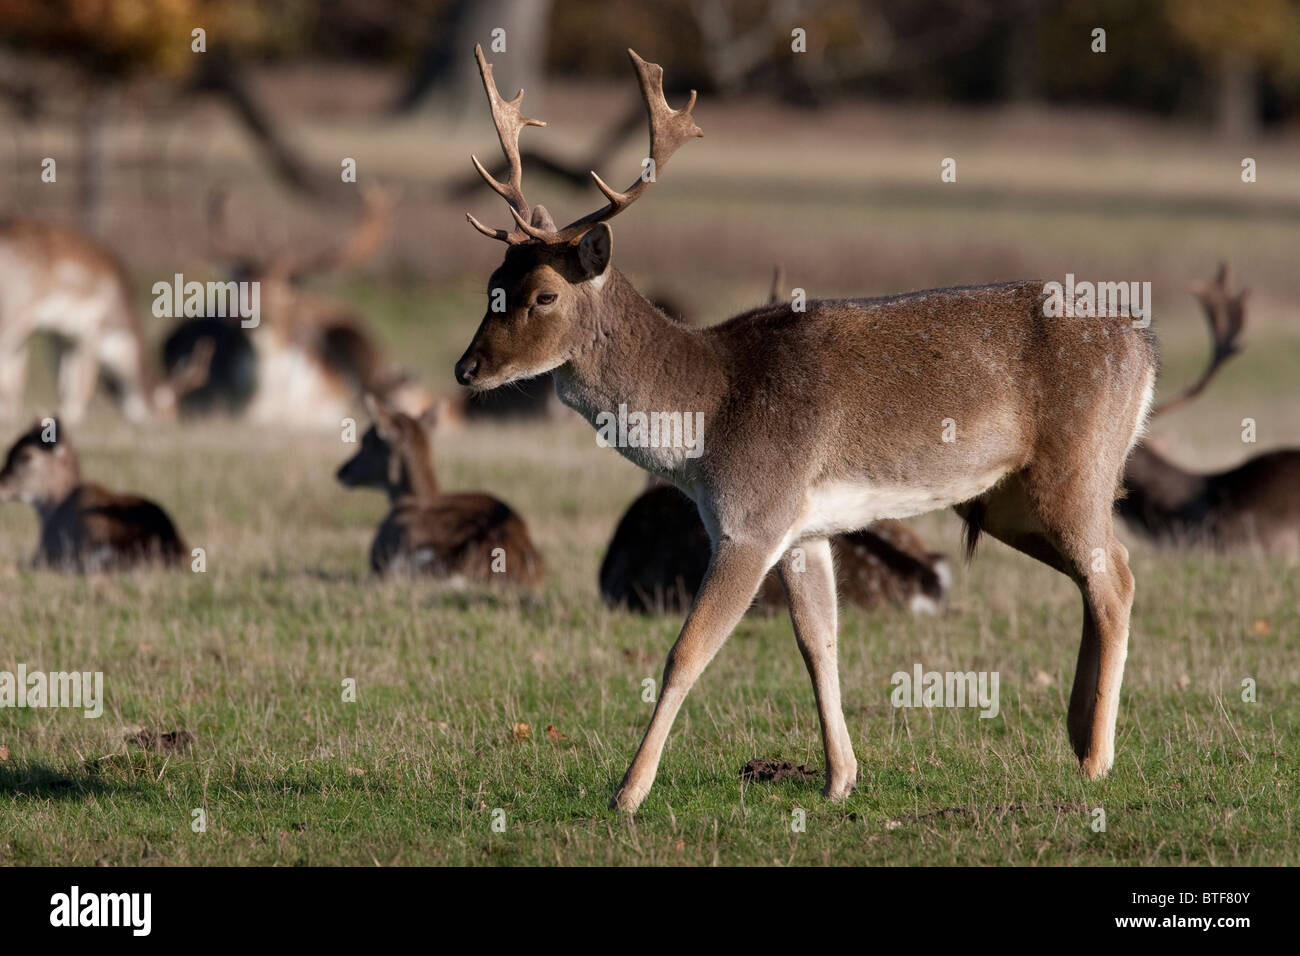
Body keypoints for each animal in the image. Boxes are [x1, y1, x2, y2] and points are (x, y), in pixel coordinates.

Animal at [0, 218, 216, 423]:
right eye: (166, 412)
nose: (171, 424)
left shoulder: (62, 339)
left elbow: (65, 383)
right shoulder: (92, 329)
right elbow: (83, 386)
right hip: (16, 314)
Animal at [454, 45, 1157, 813]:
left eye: (544, 296)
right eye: (491, 282)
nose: (467, 368)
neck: (705, 415)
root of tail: (1145, 346)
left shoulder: (751, 518)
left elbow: (686, 652)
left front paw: (628, 793)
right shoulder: (804, 530)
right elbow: (819, 645)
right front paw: (840, 778)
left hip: (1076, 466)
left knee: (1117, 578)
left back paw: (1097, 759)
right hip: (1006, 503)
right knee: (1101, 577)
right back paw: (1077, 736)